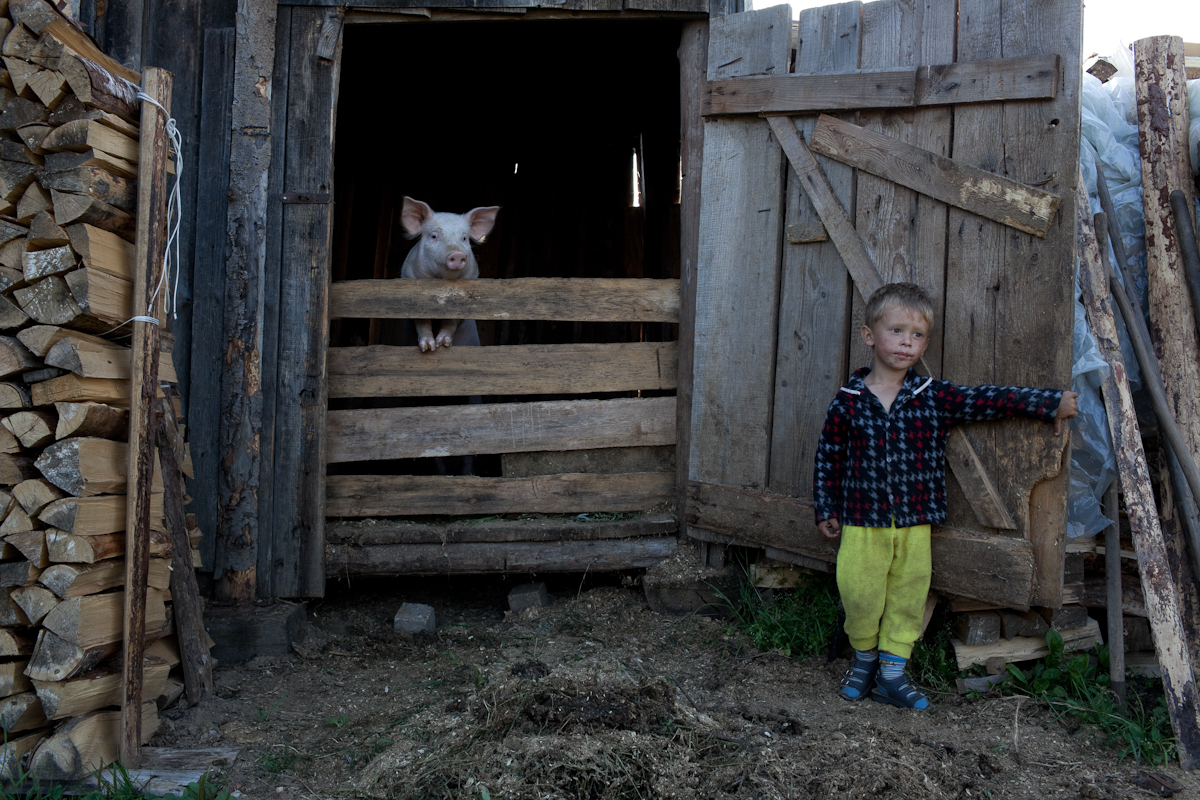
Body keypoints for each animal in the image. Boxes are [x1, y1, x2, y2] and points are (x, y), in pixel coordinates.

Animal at [400, 196, 499, 350]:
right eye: (434, 236)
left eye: (464, 238)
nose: (457, 254)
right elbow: (422, 320)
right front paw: (428, 347)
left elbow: (452, 319)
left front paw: (443, 344)